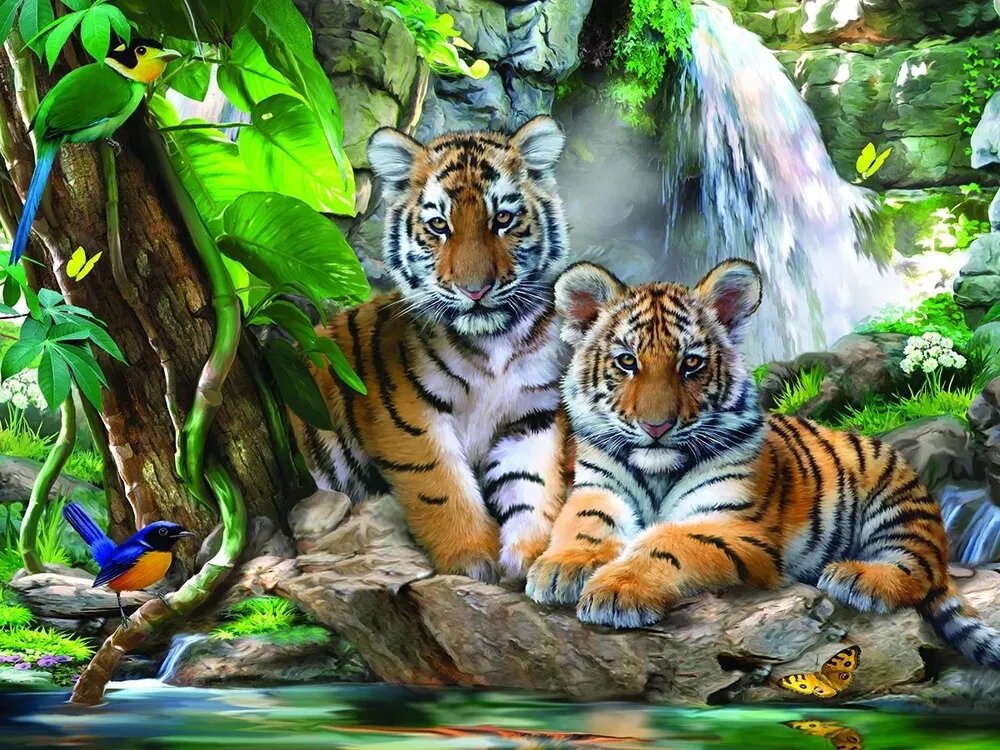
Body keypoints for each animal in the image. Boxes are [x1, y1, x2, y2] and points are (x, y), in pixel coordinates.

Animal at [290, 117, 570, 583]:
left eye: (503, 219)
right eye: (439, 226)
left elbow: (532, 484)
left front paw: (532, 555)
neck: (492, 342)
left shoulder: (532, 416)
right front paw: (472, 557)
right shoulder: (407, 416)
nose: (476, 290)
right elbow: (442, 486)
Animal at [525, 258, 1000, 669]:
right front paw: (562, 567)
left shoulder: (735, 525)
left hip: (897, 506)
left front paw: (618, 590)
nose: (656, 427)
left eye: (691, 363)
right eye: (627, 361)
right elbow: (584, 521)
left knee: (917, 571)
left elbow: (669, 542)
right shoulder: (598, 488)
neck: (657, 469)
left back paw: (855, 578)